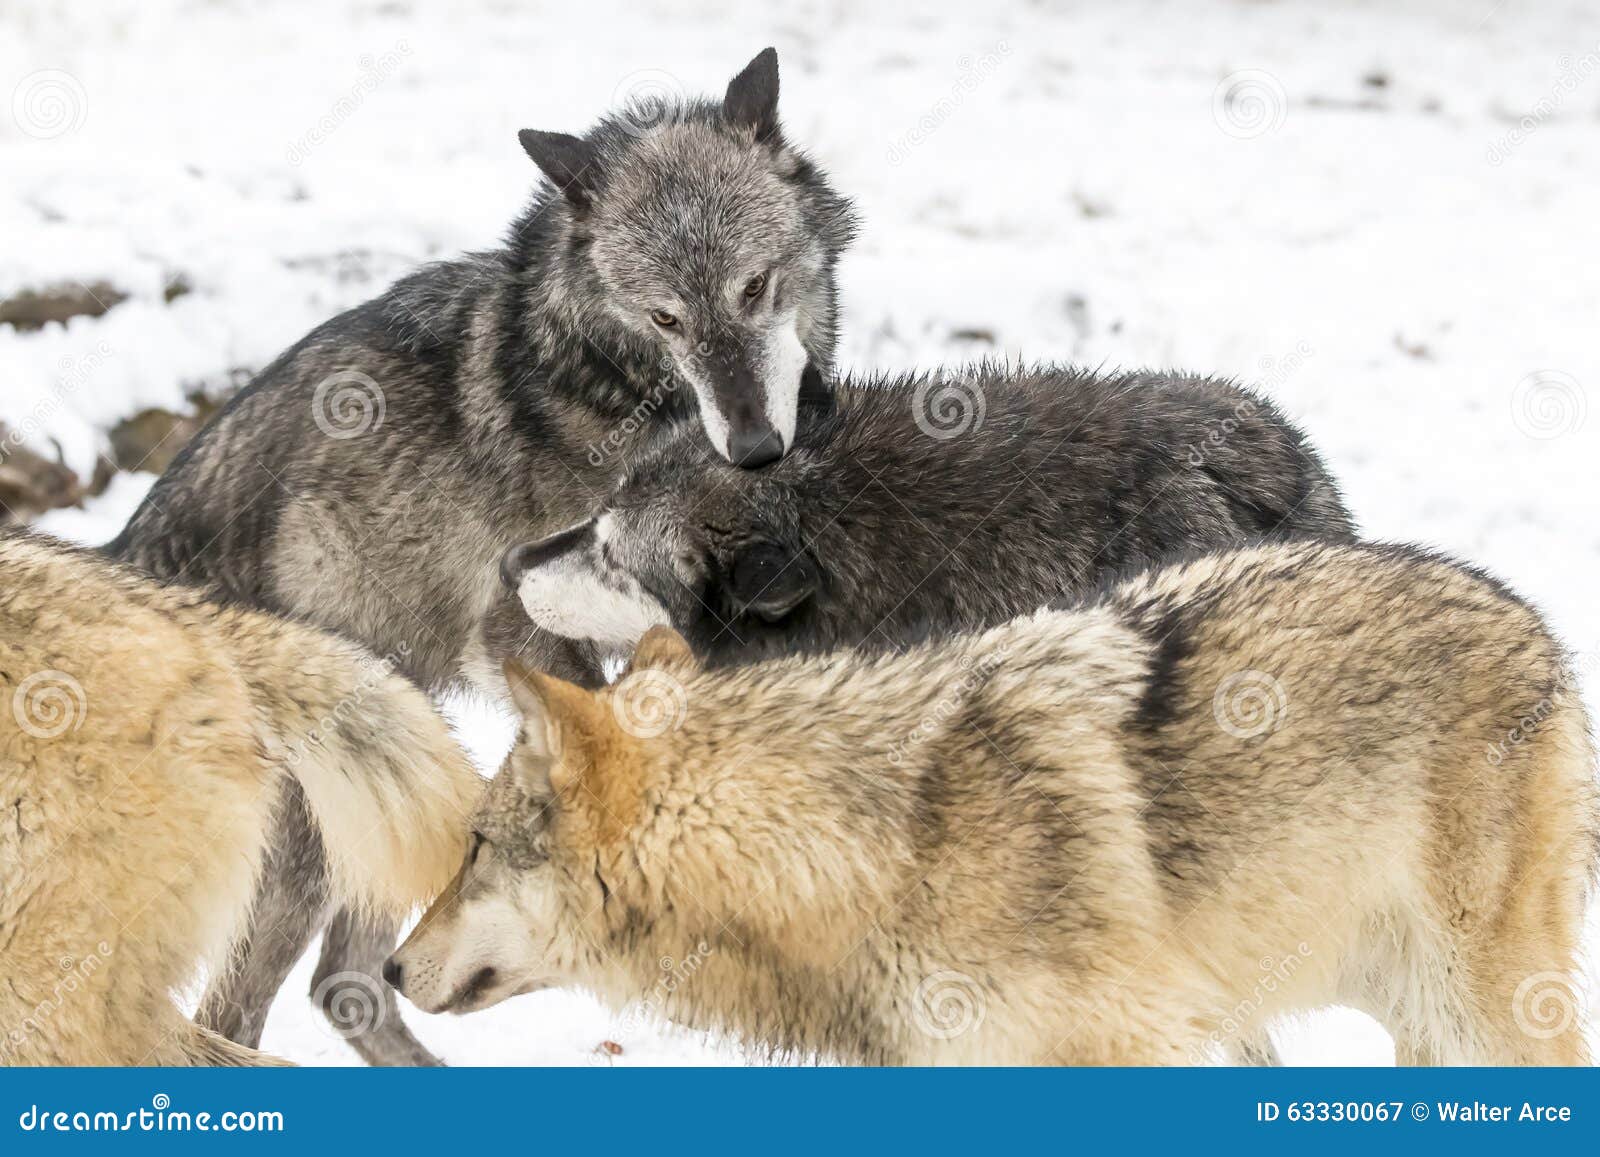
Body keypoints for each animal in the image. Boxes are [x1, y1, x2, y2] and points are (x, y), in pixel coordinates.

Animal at [103, 47, 855, 1063]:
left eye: (754, 287)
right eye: (665, 318)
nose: (756, 446)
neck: (612, 383)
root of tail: (130, 548)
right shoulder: (523, 629)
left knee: (346, 983)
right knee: (240, 1011)